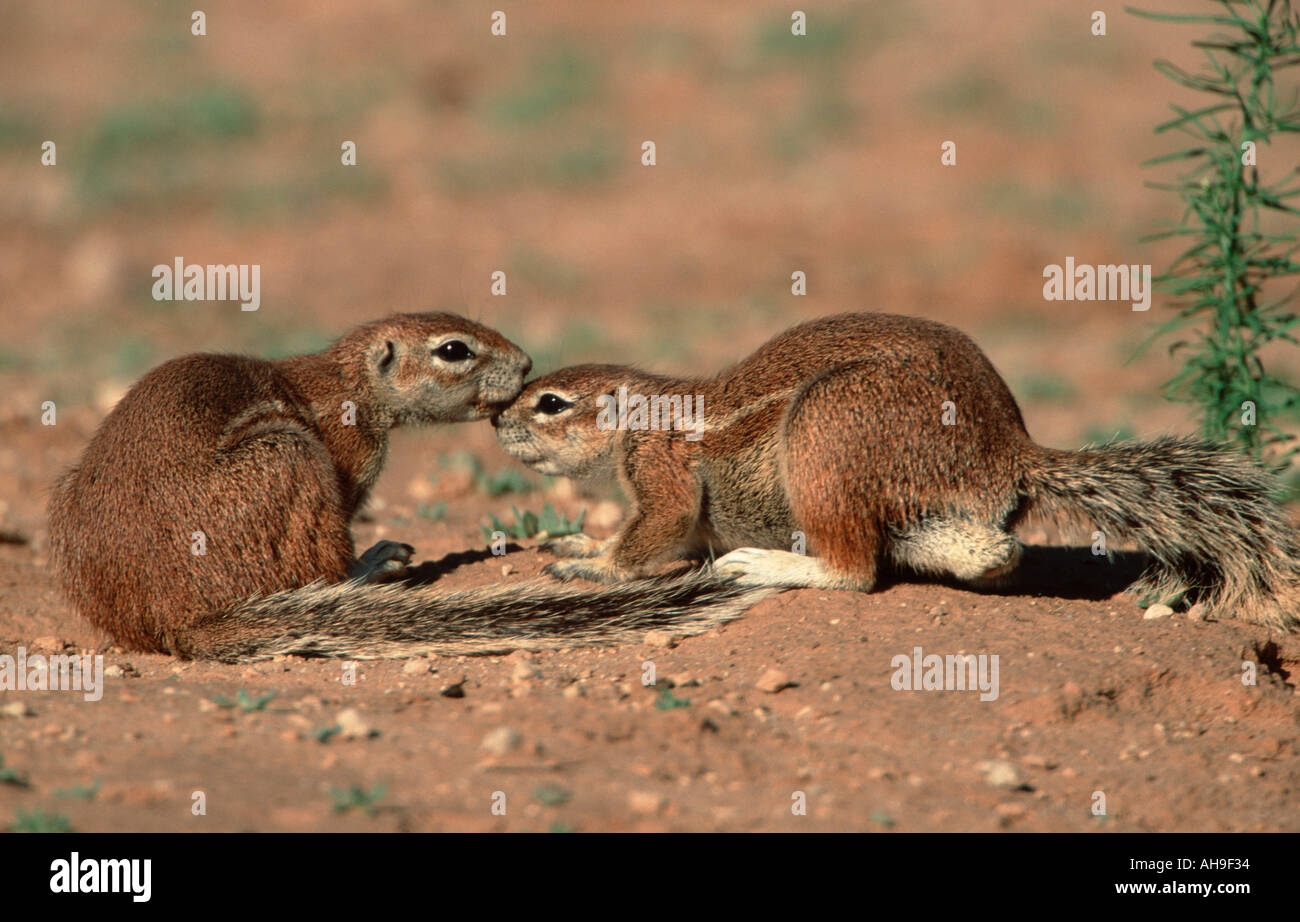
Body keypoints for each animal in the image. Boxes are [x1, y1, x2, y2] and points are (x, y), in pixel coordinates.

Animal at [48, 312, 761, 663]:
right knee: (321, 568)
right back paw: (373, 564)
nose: (528, 362)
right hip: (289, 457)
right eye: (454, 350)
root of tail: (177, 620)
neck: (347, 378)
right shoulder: (350, 454)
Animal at [493, 311, 1300, 632]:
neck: (647, 413)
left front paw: (590, 564)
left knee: (854, 569)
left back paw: (766, 563)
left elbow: (651, 531)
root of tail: (1008, 449)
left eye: (550, 402)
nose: (496, 419)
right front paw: (577, 542)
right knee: (987, 553)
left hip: (826, 429)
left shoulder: (660, 469)